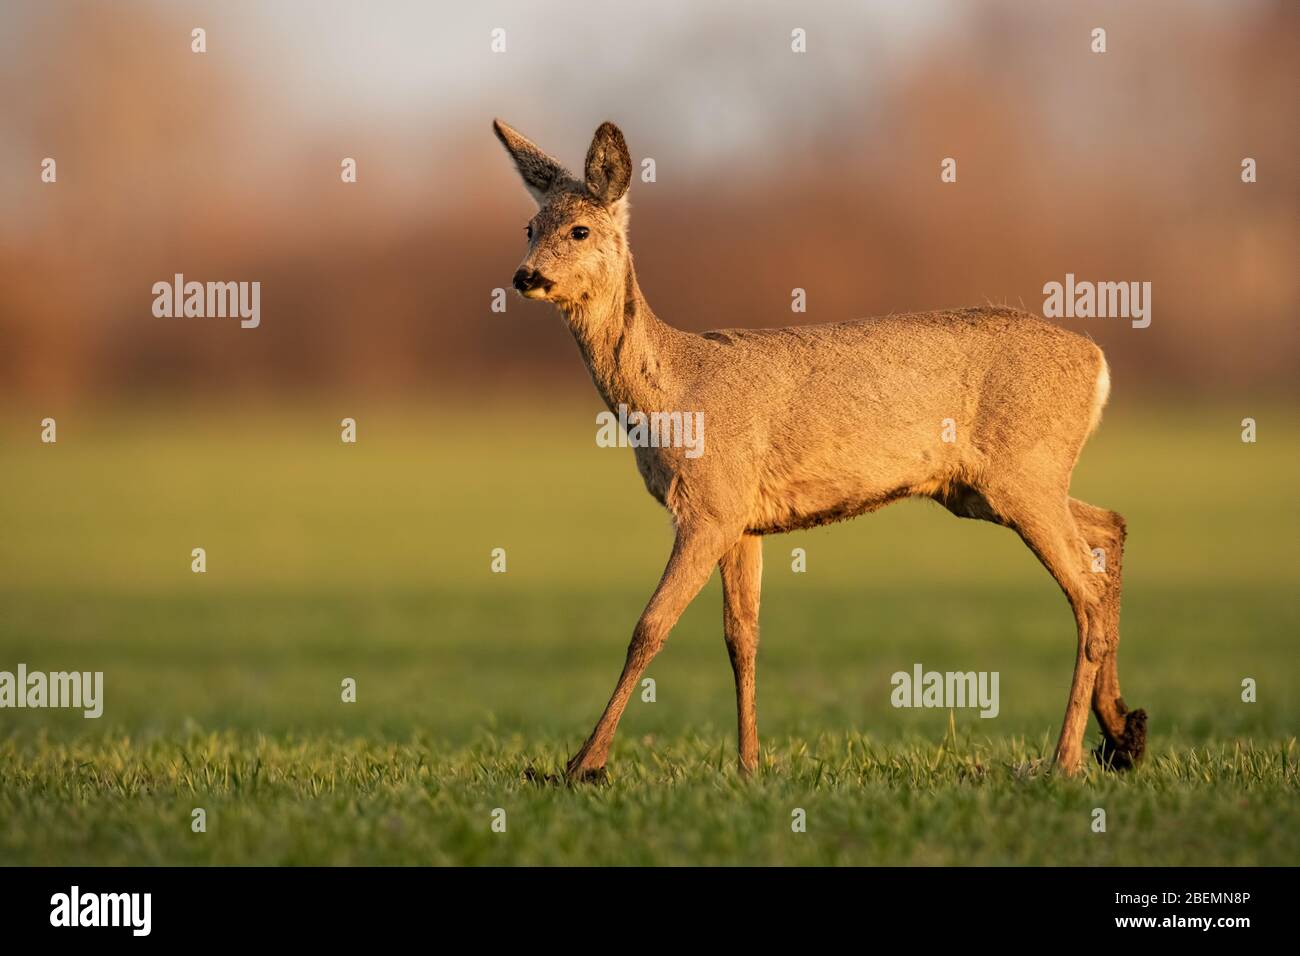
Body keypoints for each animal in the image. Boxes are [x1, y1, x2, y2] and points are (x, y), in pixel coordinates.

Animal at [493, 118, 1147, 781]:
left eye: (580, 229)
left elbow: (649, 628)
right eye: (530, 227)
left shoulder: (710, 505)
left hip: (1023, 471)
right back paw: (1124, 732)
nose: (525, 277)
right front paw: (749, 764)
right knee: (1109, 527)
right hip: (987, 488)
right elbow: (742, 637)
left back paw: (1065, 759)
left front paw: (582, 764)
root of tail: (1098, 362)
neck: (672, 390)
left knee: (1086, 593)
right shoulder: (743, 519)